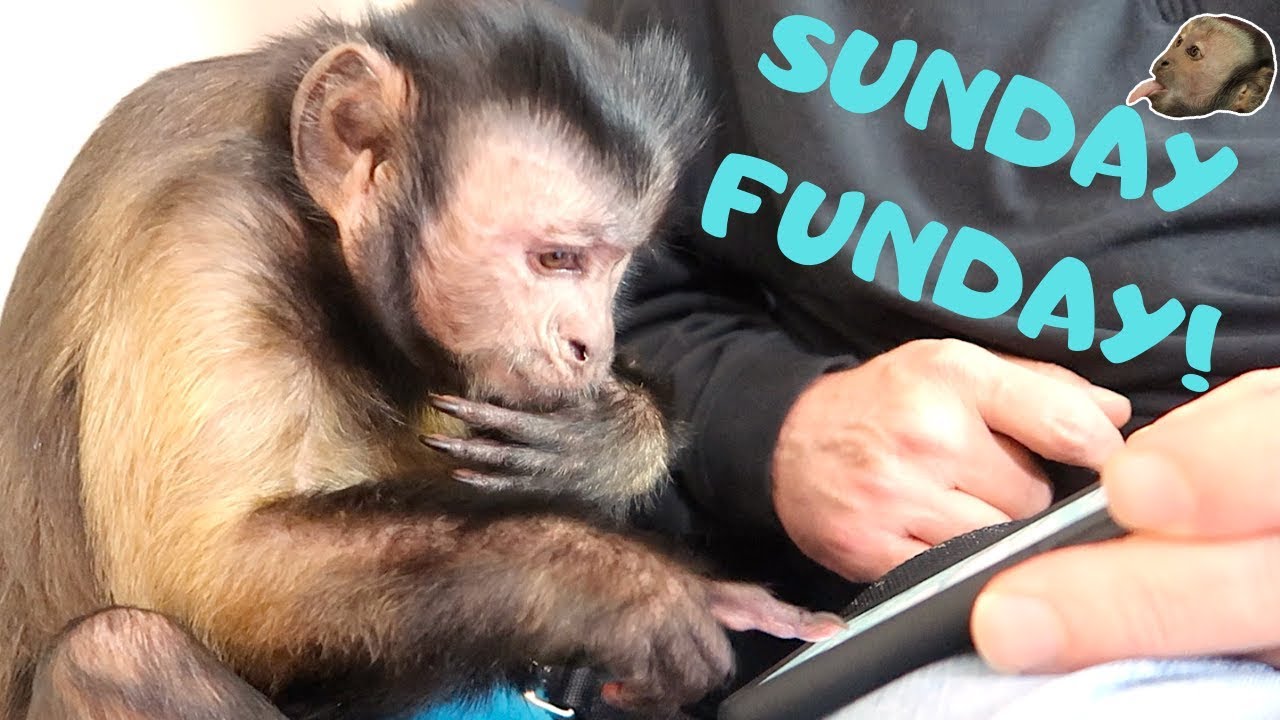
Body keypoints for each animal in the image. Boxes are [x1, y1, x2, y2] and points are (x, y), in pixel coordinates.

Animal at [0, 1, 844, 719]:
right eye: (559, 259)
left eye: (620, 265)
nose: (591, 344)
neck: (319, 240)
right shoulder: (208, 228)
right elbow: (209, 571)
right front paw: (614, 584)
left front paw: (605, 444)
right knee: (117, 650)